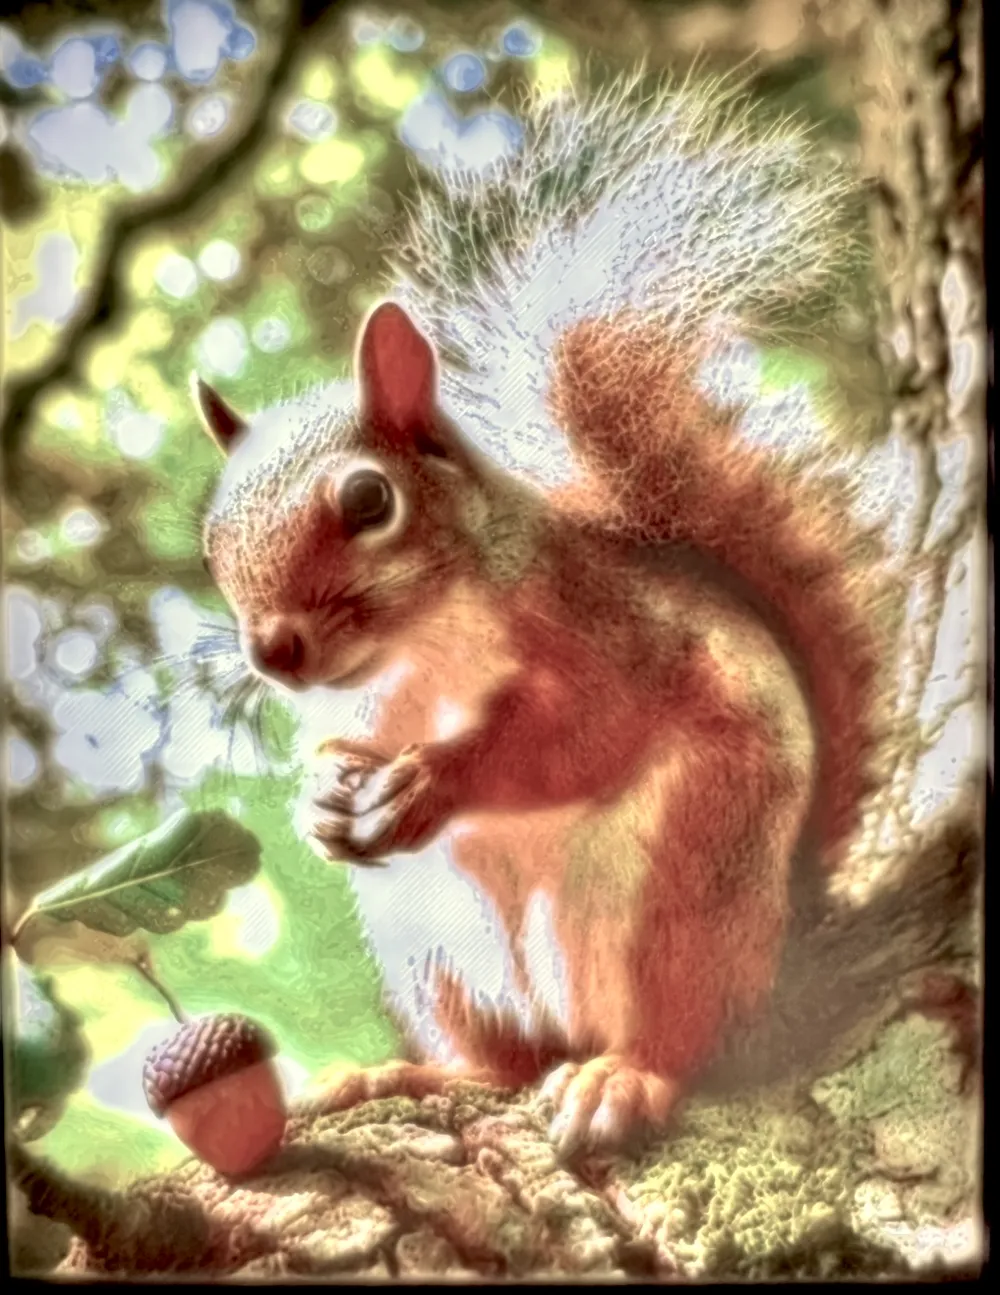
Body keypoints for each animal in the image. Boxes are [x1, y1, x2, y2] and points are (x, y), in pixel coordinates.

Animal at [192, 73, 922, 1156]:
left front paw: (440, 780)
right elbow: (337, 756)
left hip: (666, 900)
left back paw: (622, 1076)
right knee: (497, 1064)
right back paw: (396, 1073)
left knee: (676, 1038)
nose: (275, 651)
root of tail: (779, 952)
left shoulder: (607, 634)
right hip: (433, 949)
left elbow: (579, 731)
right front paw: (322, 797)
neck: (414, 660)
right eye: (208, 538)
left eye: (368, 500)